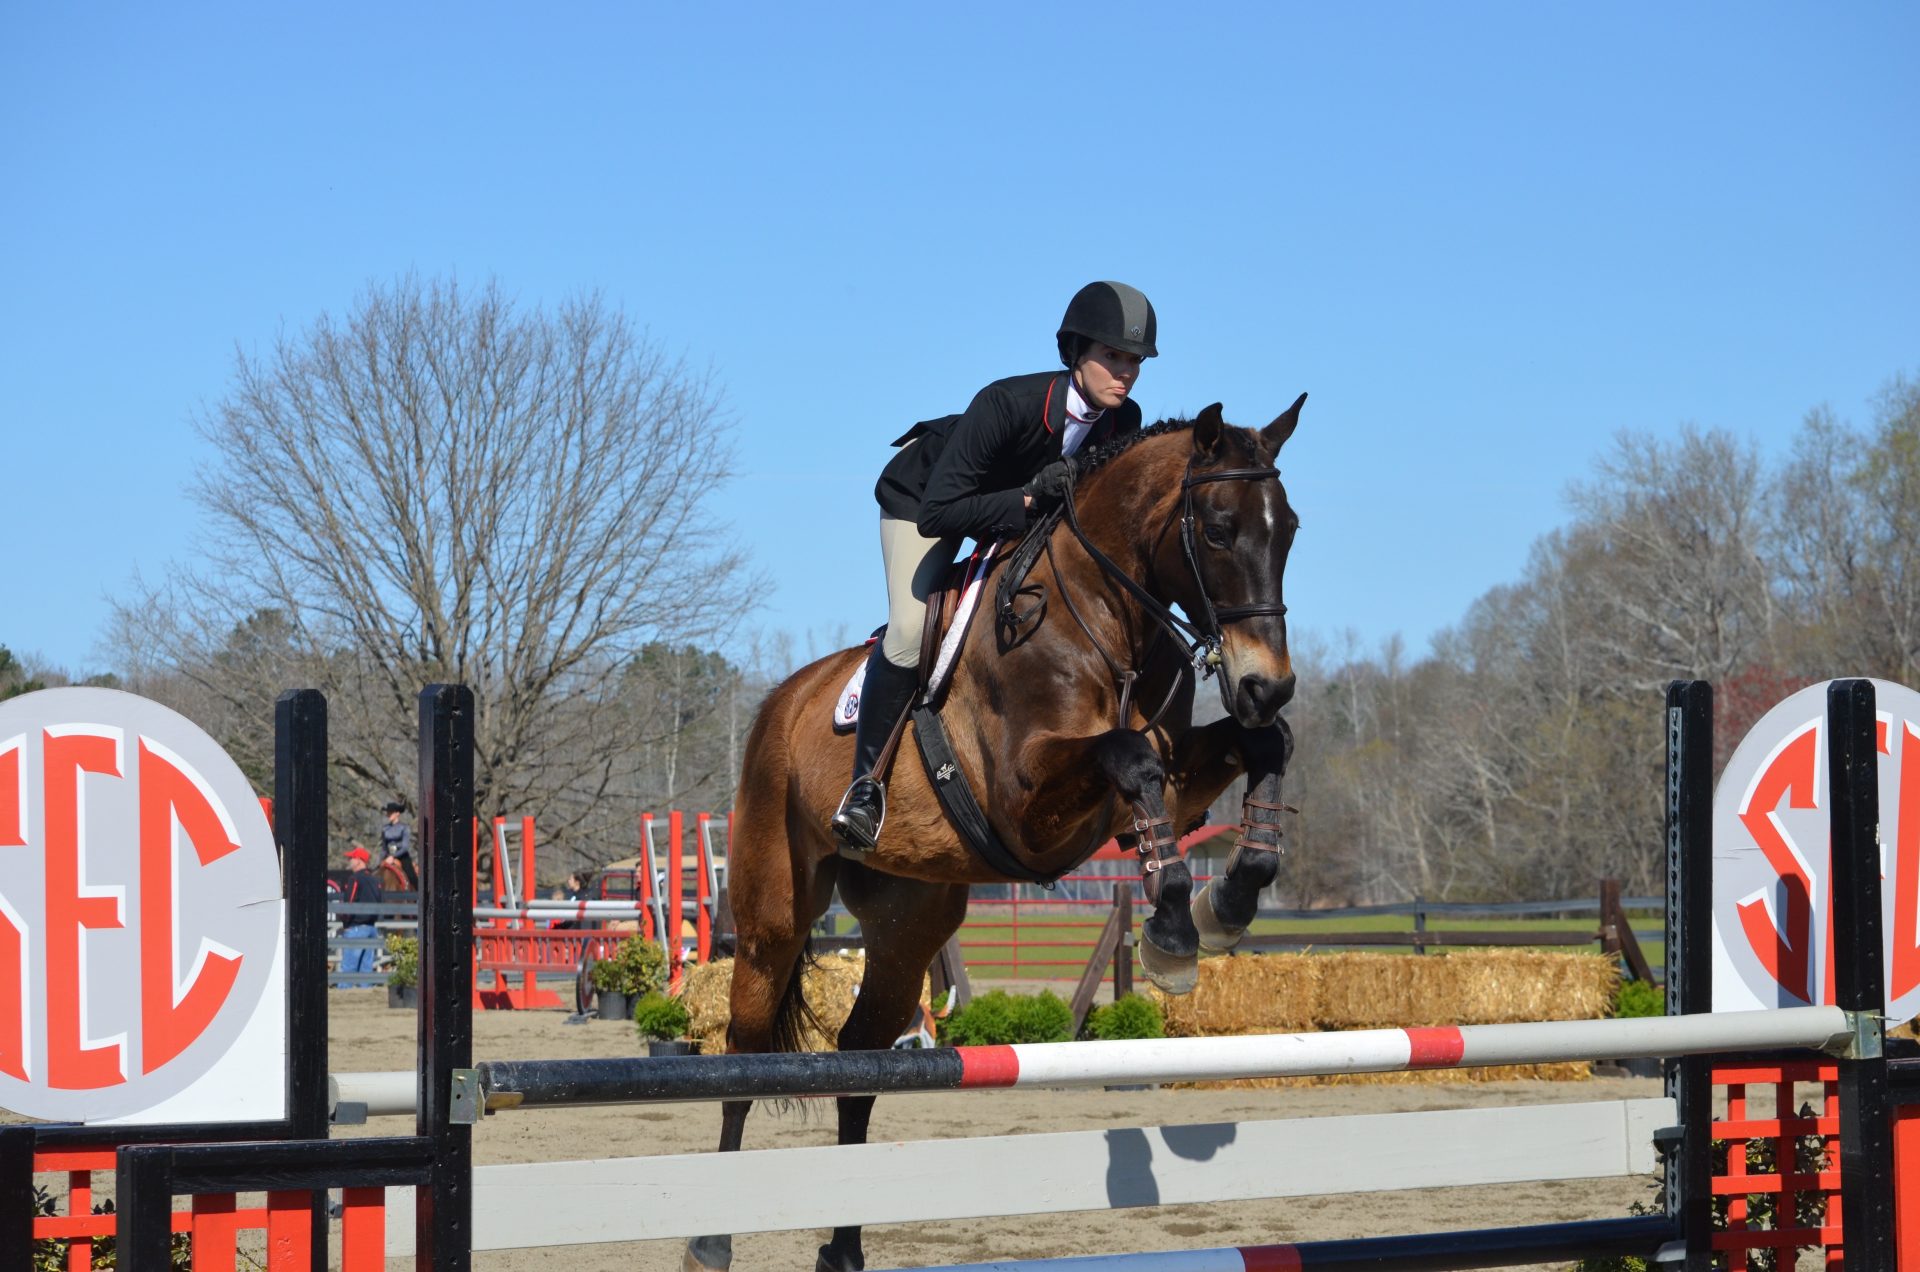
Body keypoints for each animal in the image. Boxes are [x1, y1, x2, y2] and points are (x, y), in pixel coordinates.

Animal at [688, 397, 1305, 1272]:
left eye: (1288, 529)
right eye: (1218, 529)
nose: (1266, 684)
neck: (1103, 618)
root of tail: (783, 699)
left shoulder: (1167, 784)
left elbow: (1257, 749)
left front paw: (1228, 902)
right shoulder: (1027, 801)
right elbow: (1130, 758)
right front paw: (1174, 932)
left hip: (908, 921)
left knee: (861, 1052)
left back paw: (843, 1247)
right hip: (774, 910)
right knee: (743, 1052)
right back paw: (711, 1239)